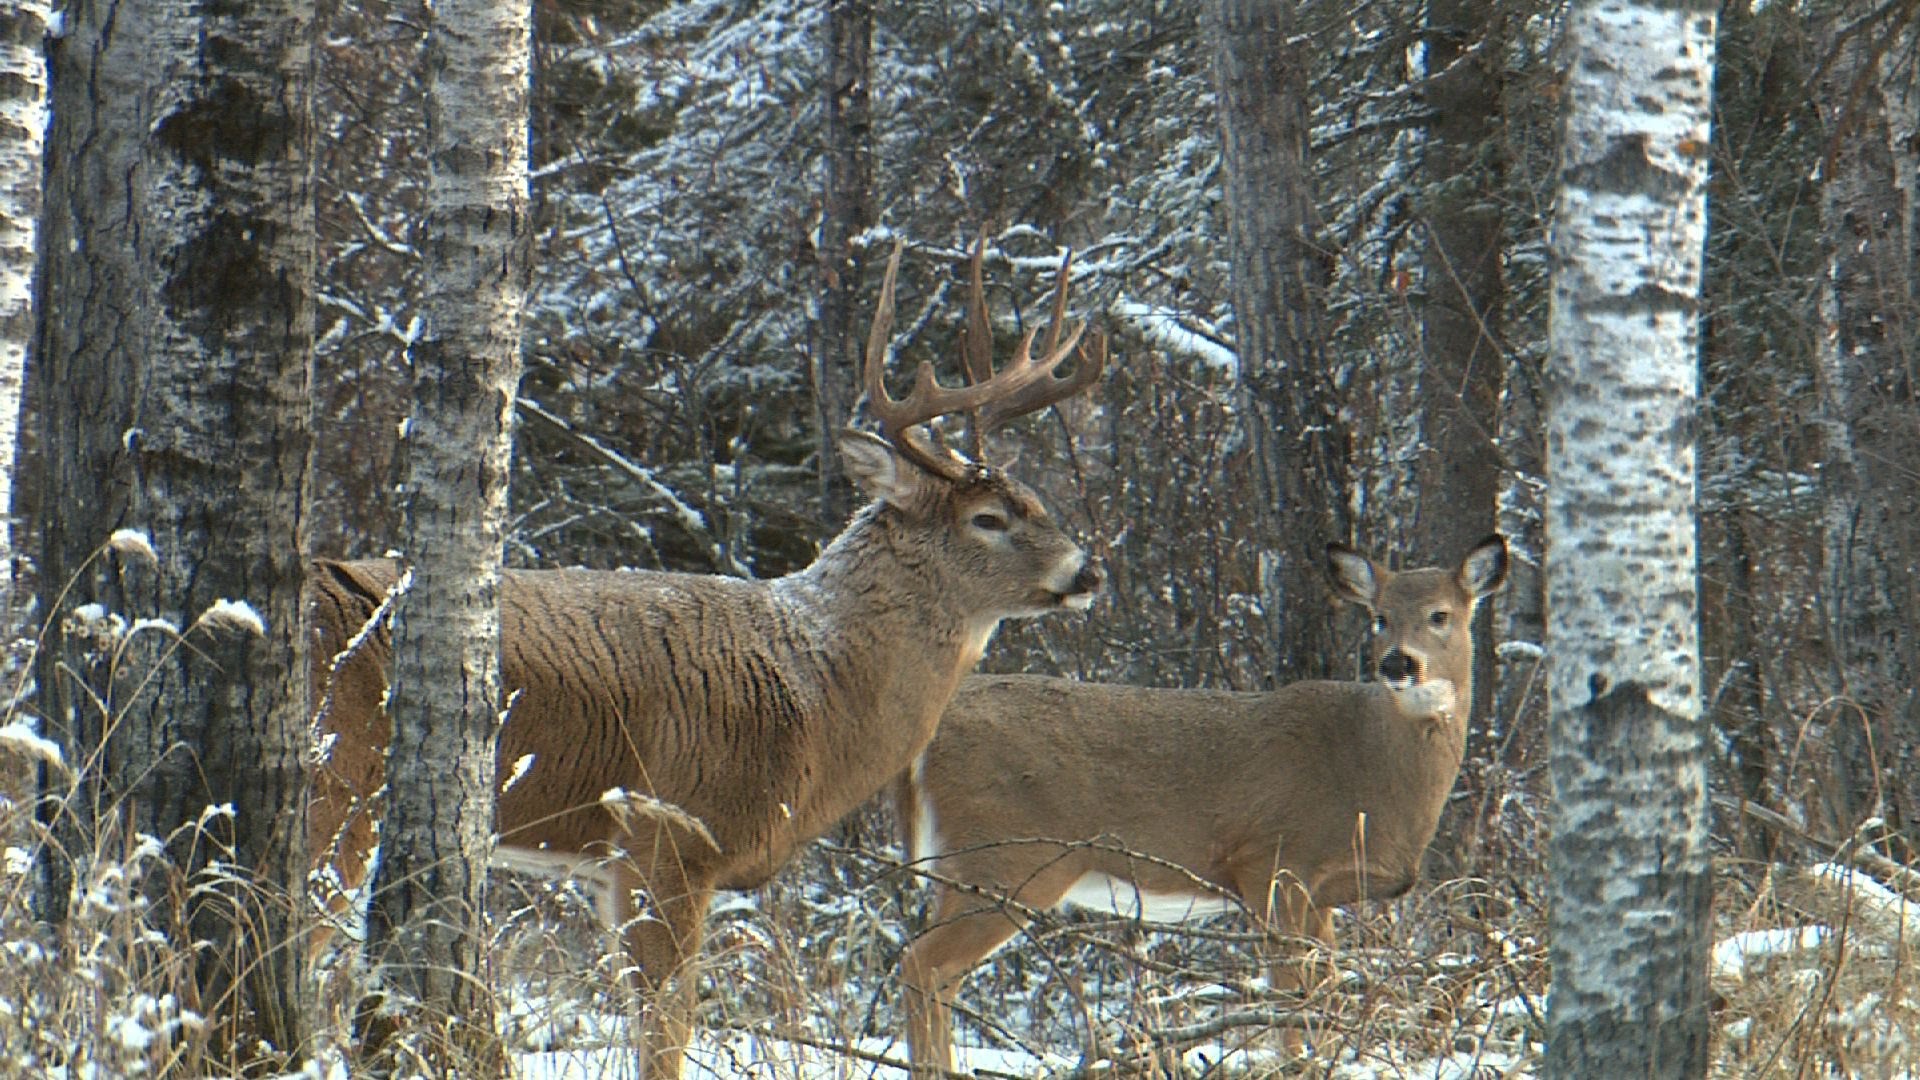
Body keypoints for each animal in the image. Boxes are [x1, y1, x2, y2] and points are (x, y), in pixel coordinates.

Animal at [307, 240, 1107, 1080]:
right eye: (988, 518)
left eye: (1040, 501)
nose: (1088, 571)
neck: (820, 691)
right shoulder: (668, 834)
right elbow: (666, 1029)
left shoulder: (614, 865)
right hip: (339, 792)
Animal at [892, 535, 1508, 1072]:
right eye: (1378, 617)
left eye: (1441, 615)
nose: (1398, 663)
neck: (1371, 771)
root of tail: (921, 743)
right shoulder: (1271, 861)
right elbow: (1293, 999)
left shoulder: (1323, 891)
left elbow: (1326, 993)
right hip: (1003, 859)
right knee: (922, 962)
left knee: (935, 971)